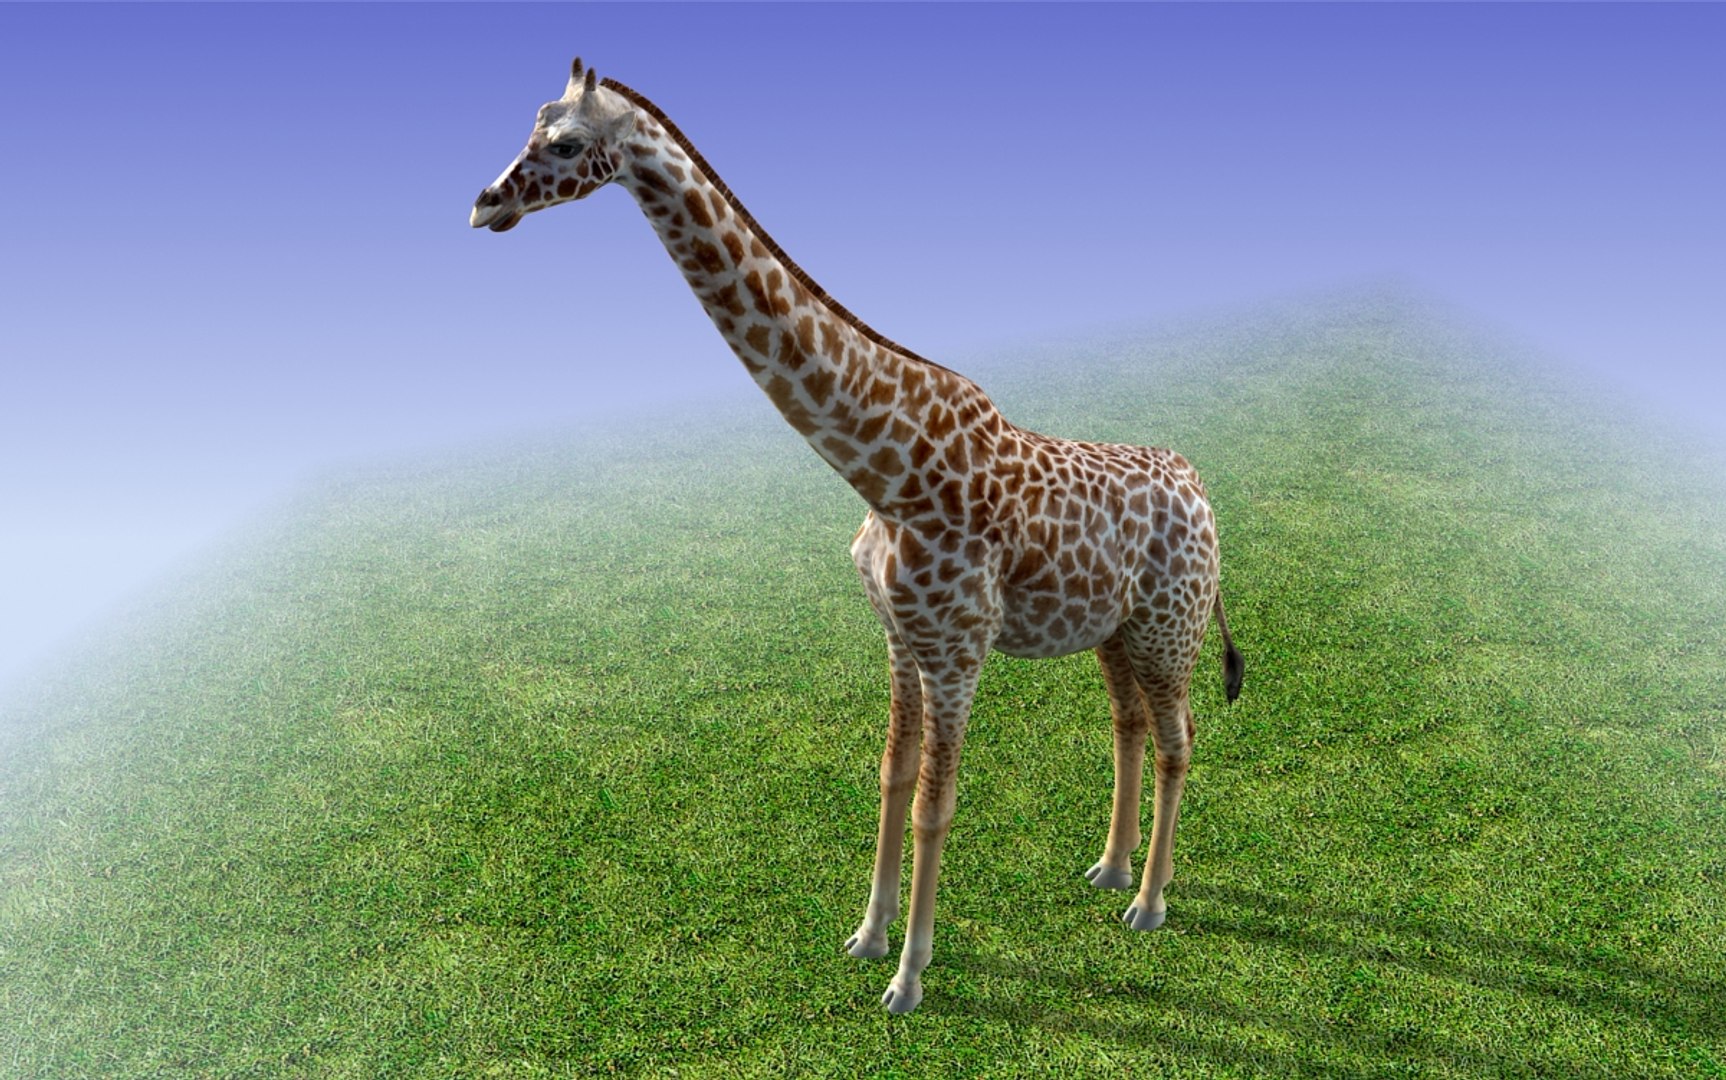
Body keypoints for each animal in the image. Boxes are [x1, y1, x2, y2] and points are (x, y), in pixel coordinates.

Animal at [471, 60, 1244, 1015]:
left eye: (565, 143)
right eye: (529, 128)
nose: (484, 203)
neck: (886, 470)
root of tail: (1202, 489)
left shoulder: (957, 647)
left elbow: (934, 805)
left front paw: (909, 979)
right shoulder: (900, 638)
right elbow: (890, 778)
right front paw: (869, 938)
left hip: (1171, 627)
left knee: (1180, 739)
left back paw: (1150, 902)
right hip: (1116, 629)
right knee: (1128, 724)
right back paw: (1110, 869)